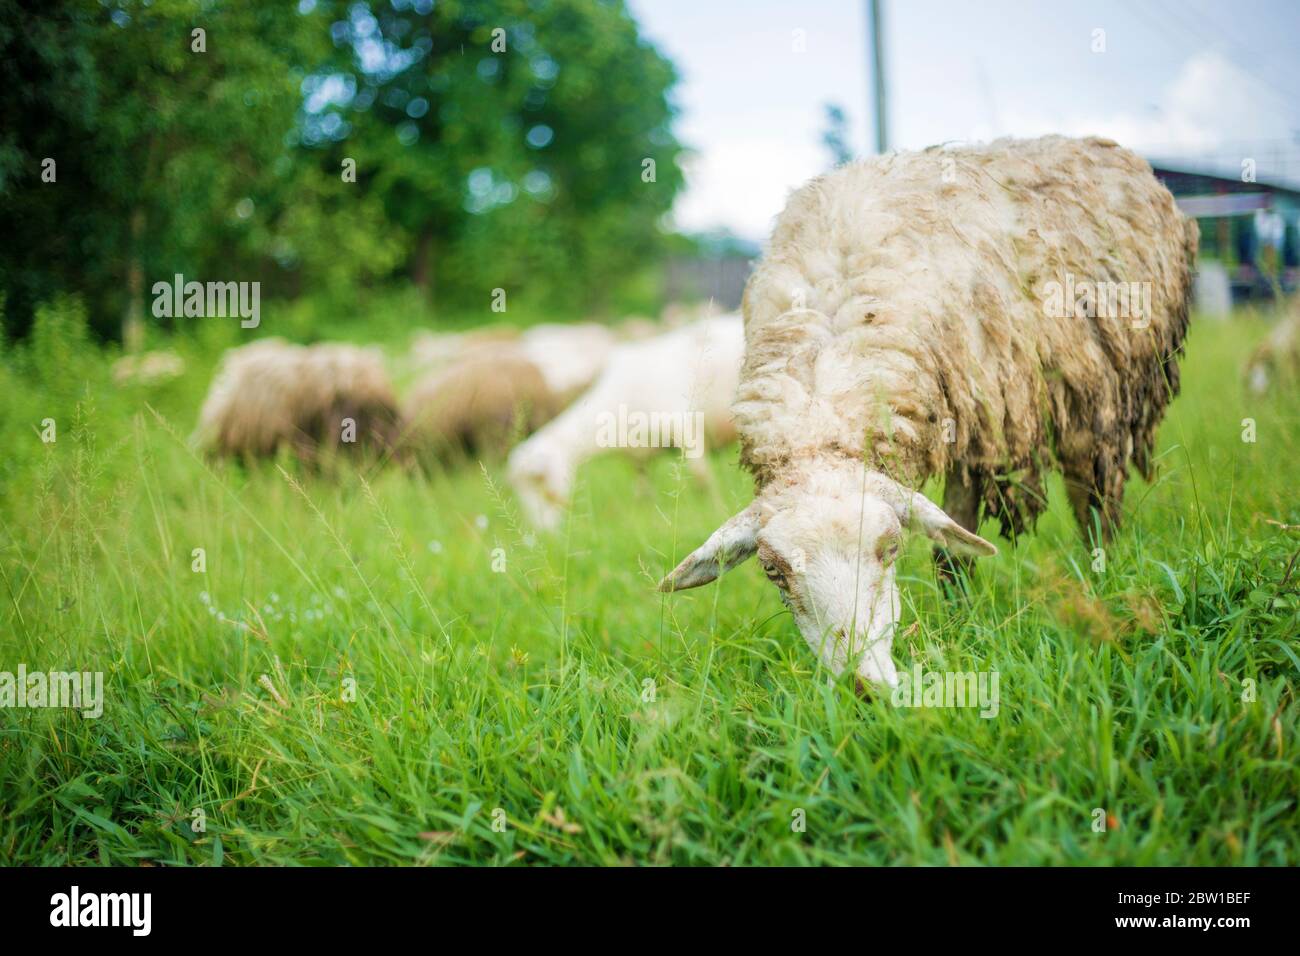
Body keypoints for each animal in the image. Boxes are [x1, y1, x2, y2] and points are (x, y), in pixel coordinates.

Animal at [508, 314, 743, 530]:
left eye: (538, 480)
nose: (543, 533)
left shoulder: (684, 428)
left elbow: (703, 479)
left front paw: (716, 509)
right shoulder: (639, 458)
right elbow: (643, 493)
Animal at [657, 136, 1198, 691]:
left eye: (891, 548)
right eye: (772, 570)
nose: (862, 687)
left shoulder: (977, 421)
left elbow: (952, 552)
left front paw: (960, 623)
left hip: (1100, 388)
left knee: (1094, 500)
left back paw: (1099, 577)